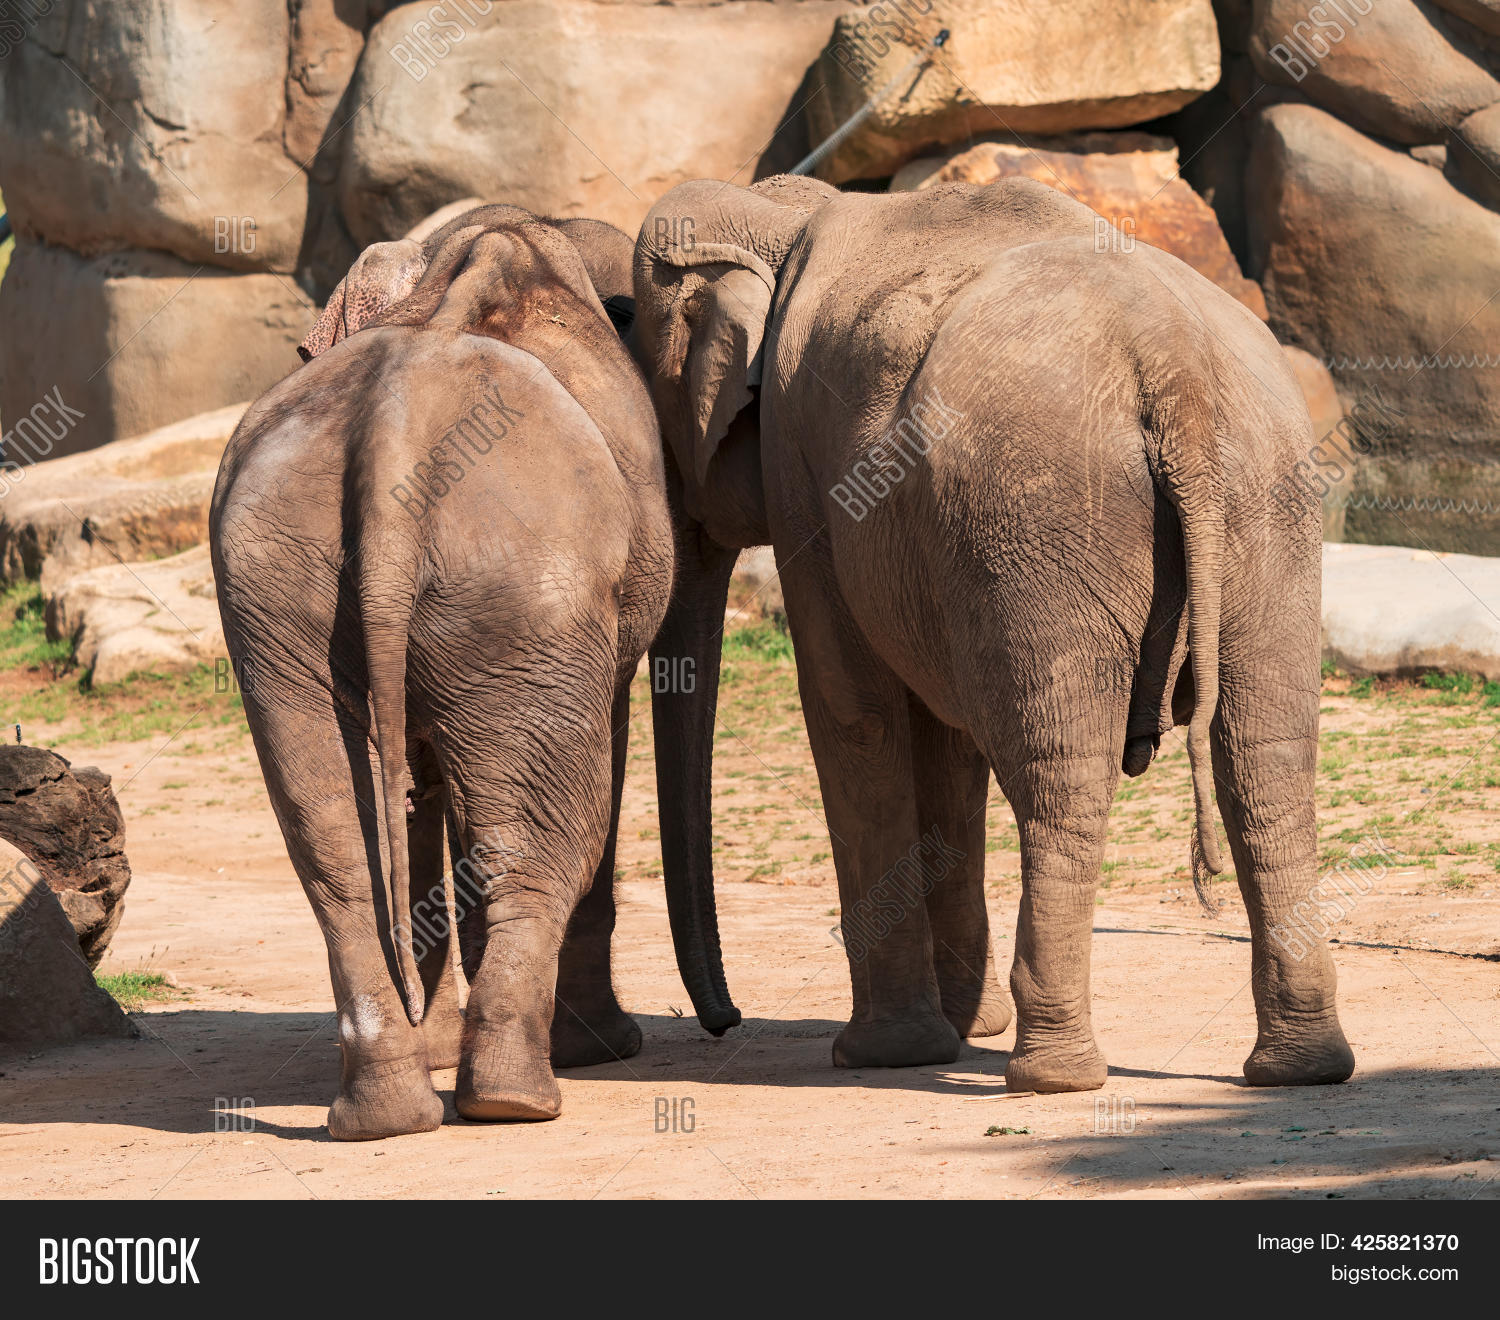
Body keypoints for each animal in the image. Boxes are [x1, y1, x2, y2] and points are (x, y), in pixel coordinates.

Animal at [211, 206, 671, 1138]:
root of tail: (395, 434)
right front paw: (605, 1051)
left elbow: (414, 796)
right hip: (526, 579)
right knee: (547, 834)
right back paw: (518, 1099)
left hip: (281, 592)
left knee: (338, 842)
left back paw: (388, 1114)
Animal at [631, 173, 1355, 1094]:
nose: (720, 1023)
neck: (782, 213)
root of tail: (1174, 366)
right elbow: (943, 739)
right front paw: (962, 1026)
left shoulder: (803, 462)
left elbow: (855, 713)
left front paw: (884, 1054)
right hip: (1265, 499)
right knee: (1267, 758)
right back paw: (1299, 1066)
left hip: (1039, 512)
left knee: (1060, 773)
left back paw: (1051, 1075)